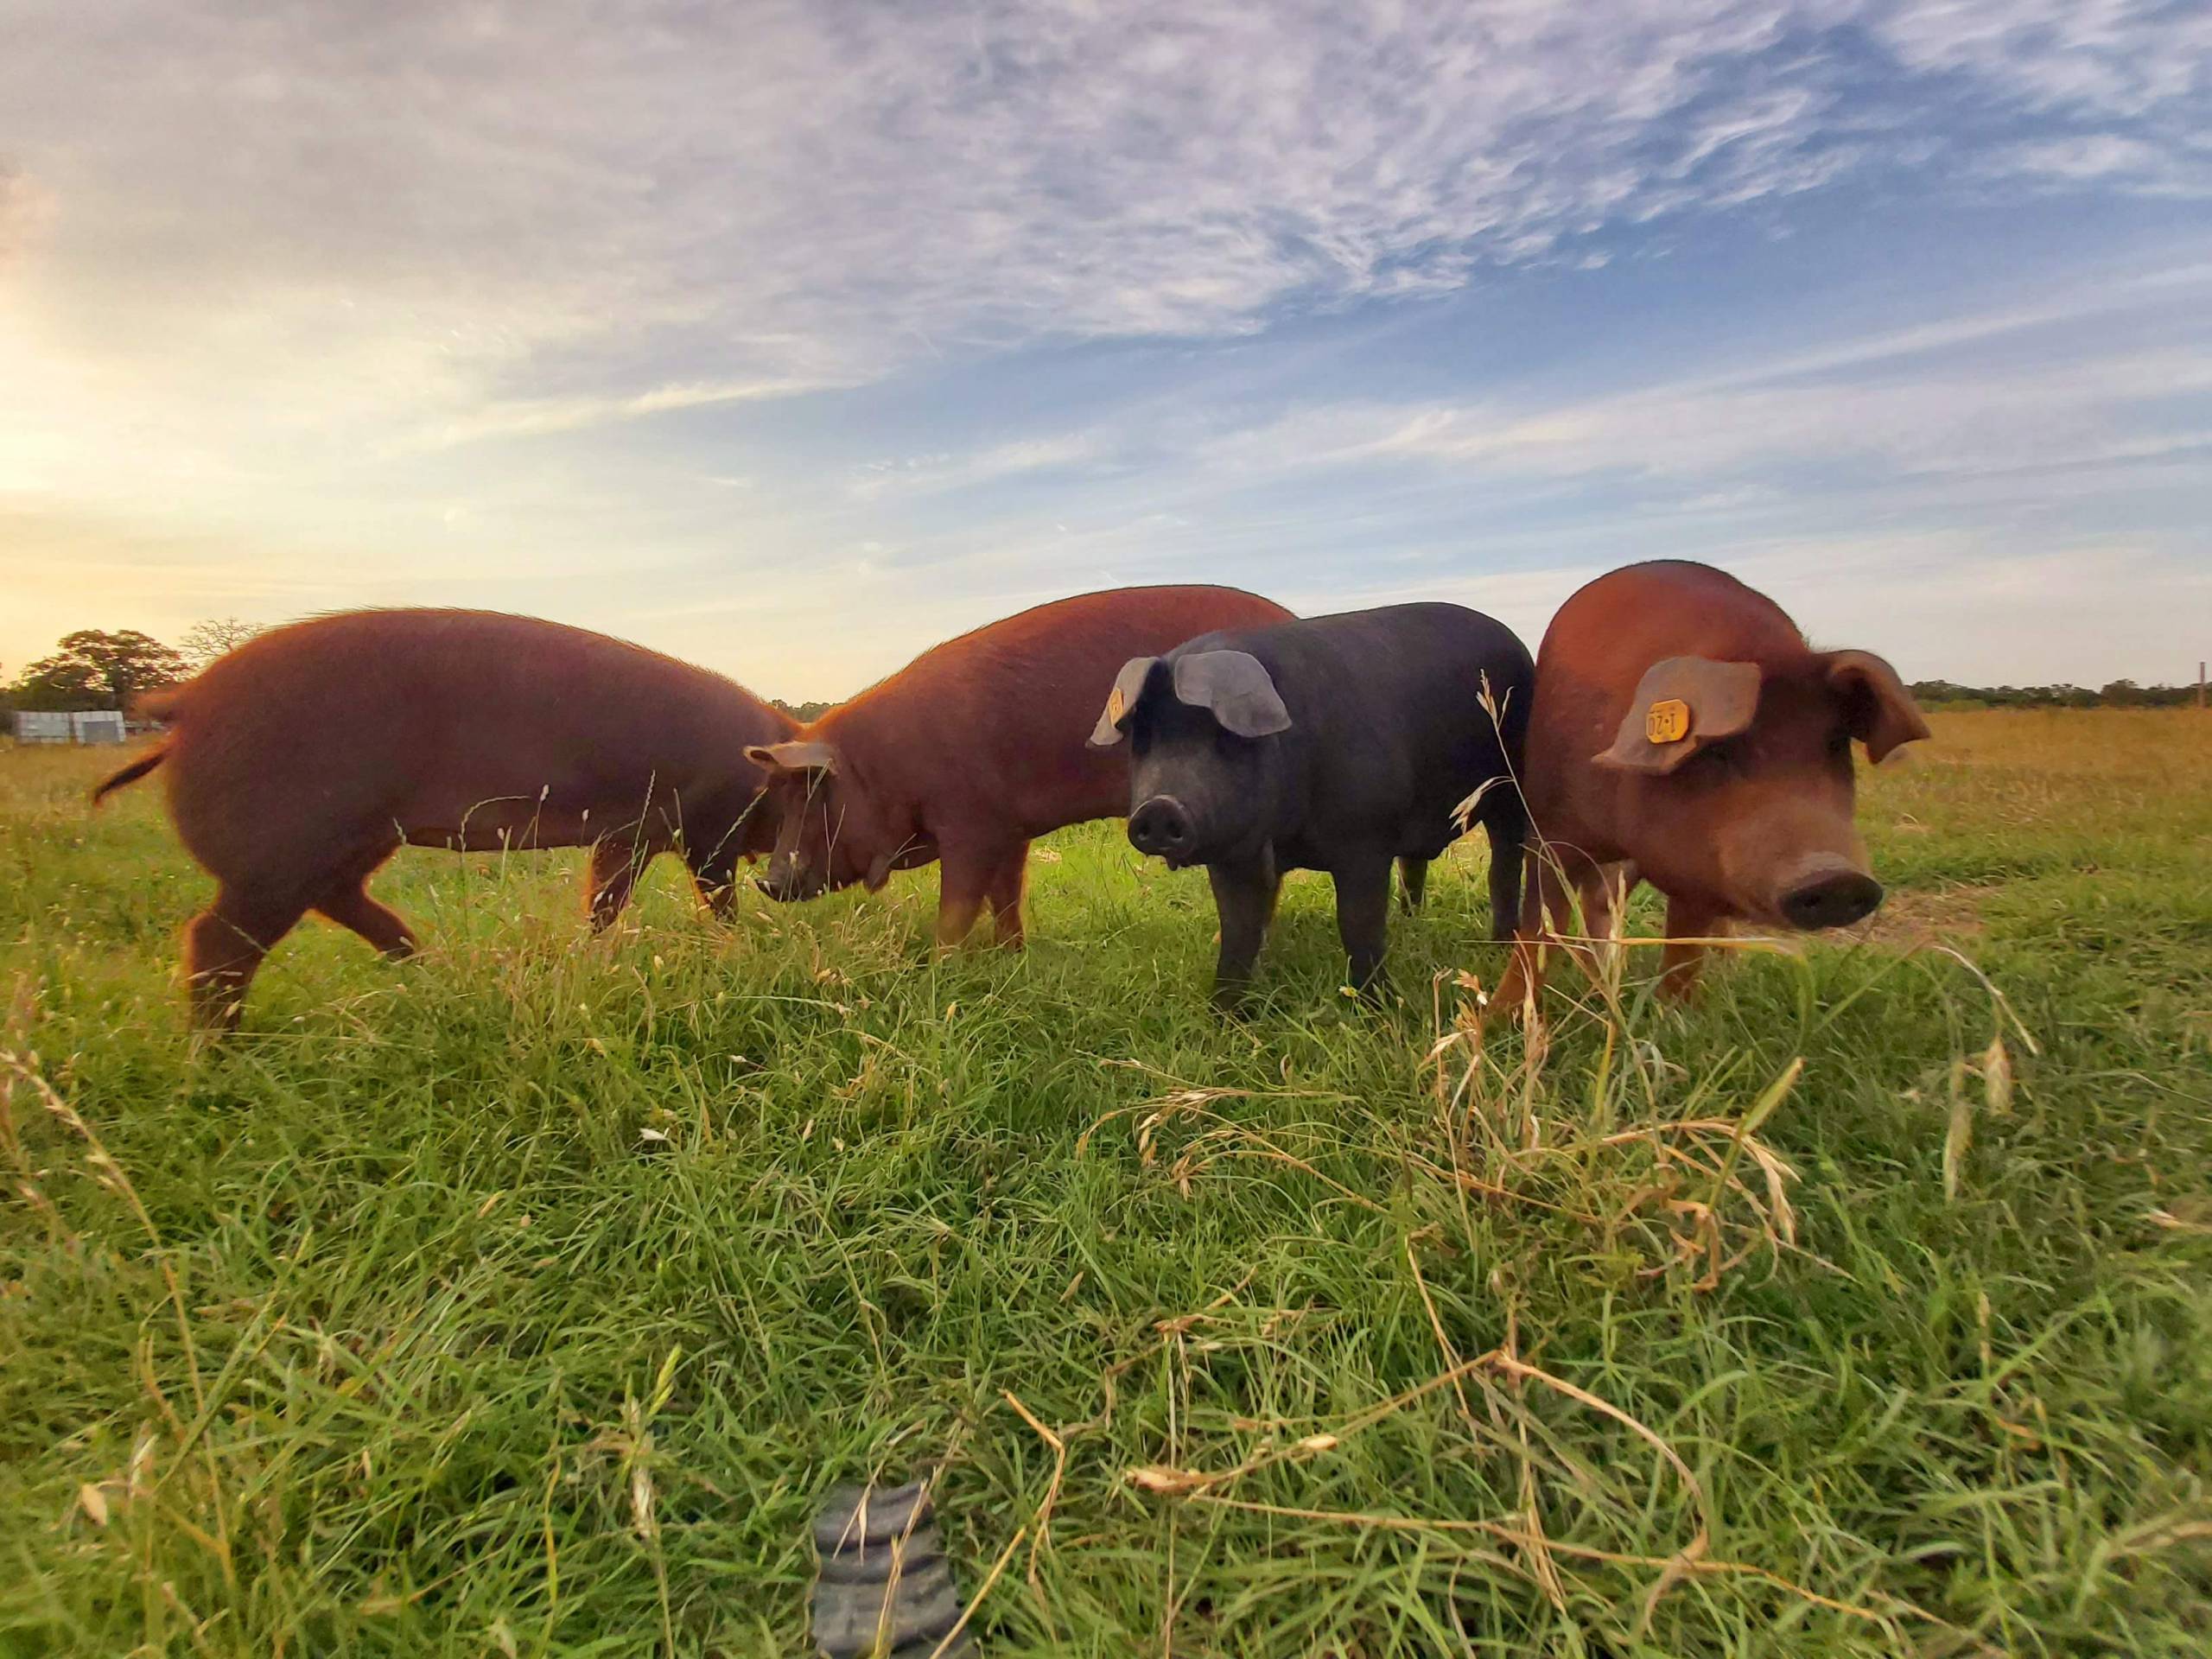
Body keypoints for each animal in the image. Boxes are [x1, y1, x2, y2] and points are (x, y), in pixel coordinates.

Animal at [91, 608, 794, 1030]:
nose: (785, 889)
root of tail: (185, 703)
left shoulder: (633, 835)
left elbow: (604, 900)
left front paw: (586, 958)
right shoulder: (708, 827)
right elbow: (715, 897)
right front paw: (740, 948)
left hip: (348, 842)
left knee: (337, 903)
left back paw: (428, 969)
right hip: (281, 850)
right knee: (216, 941)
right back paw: (218, 1061)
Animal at [745, 585, 1292, 945]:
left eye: (813, 790)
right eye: (782, 795)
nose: (767, 882)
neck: (885, 767)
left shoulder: (971, 827)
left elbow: (957, 910)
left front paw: (942, 969)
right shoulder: (1010, 829)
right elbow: (1005, 899)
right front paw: (1013, 956)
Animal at [1090, 602, 1534, 1007]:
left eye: (1225, 735)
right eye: (1144, 738)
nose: (1159, 807)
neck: (1283, 837)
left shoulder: (1365, 836)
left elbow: (1357, 923)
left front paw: (1376, 1007)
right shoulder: (1235, 855)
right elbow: (1239, 928)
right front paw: (1225, 1014)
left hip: (1512, 790)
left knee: (1505, 867)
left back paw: (1500, 947)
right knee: (1416, 868)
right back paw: (1412, 922)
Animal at [1495, 559, 1931, 1012]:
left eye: (1834, 743)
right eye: (1719, 750)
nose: (1835, 877)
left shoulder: (1695, 867)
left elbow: (1684, 947)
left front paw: (1671, 1014)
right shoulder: (1547, 828)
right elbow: (1538, 925)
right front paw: (1500, 1016)